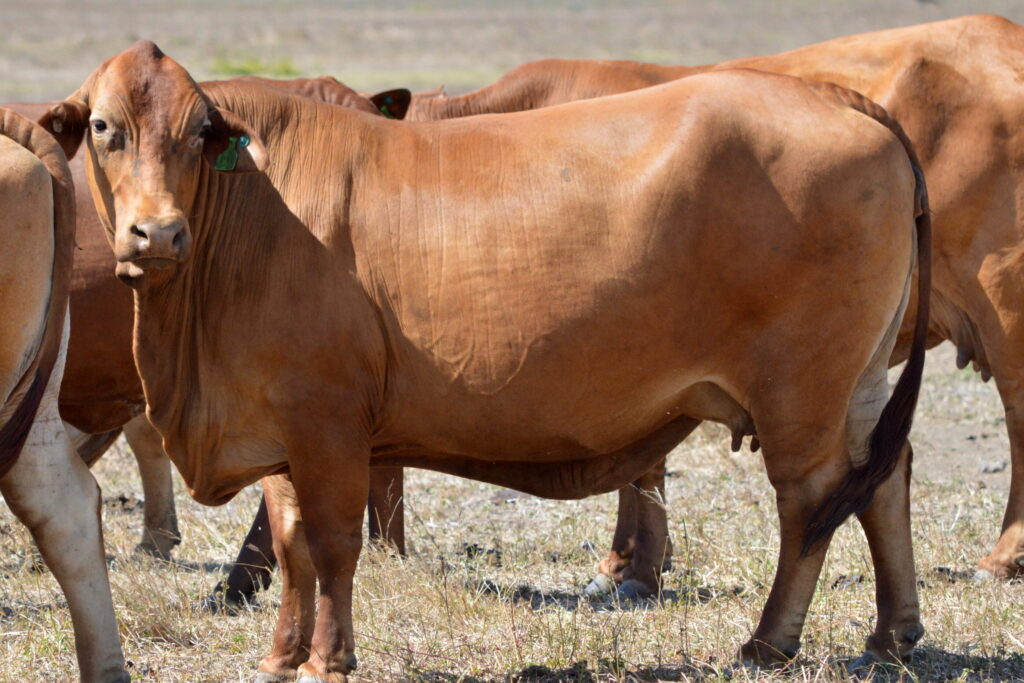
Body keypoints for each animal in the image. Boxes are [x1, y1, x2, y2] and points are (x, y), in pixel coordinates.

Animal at [42, 42, 930, 677]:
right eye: (104, 128)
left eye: (199, 134)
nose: (157, 232)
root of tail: (839, 99)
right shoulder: (281, 426)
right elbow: (291, 545)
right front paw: (281, 653)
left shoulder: (327, 422)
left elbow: (330, 544)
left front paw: (327, 657)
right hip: (858, 383)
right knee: (884, 478)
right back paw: (891, 633)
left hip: (801, 393)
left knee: (810, 502)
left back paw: (769, 640)